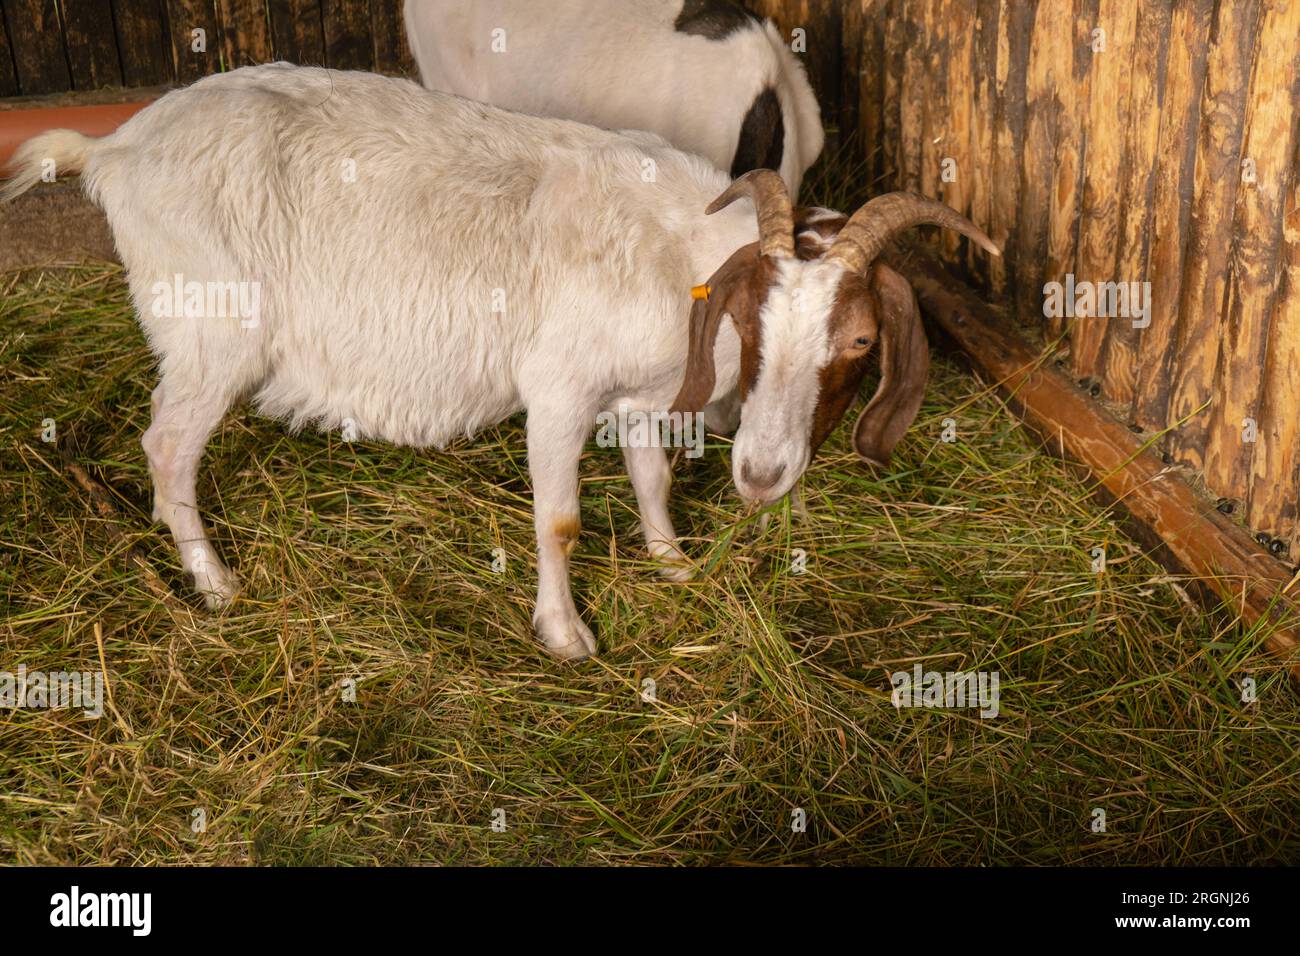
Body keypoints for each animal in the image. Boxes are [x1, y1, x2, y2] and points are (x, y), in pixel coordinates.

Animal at [2, 64, 997, 660]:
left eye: (860, 342)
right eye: (752, 321)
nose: (759, 476)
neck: (677, 249)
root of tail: (115, 146)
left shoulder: (639, 395)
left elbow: (651, 479)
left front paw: (673, 565)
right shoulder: (559, 388)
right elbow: (559, 520)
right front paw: (566, 635)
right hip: (213, 331)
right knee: (168, 446)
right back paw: (213, 582)